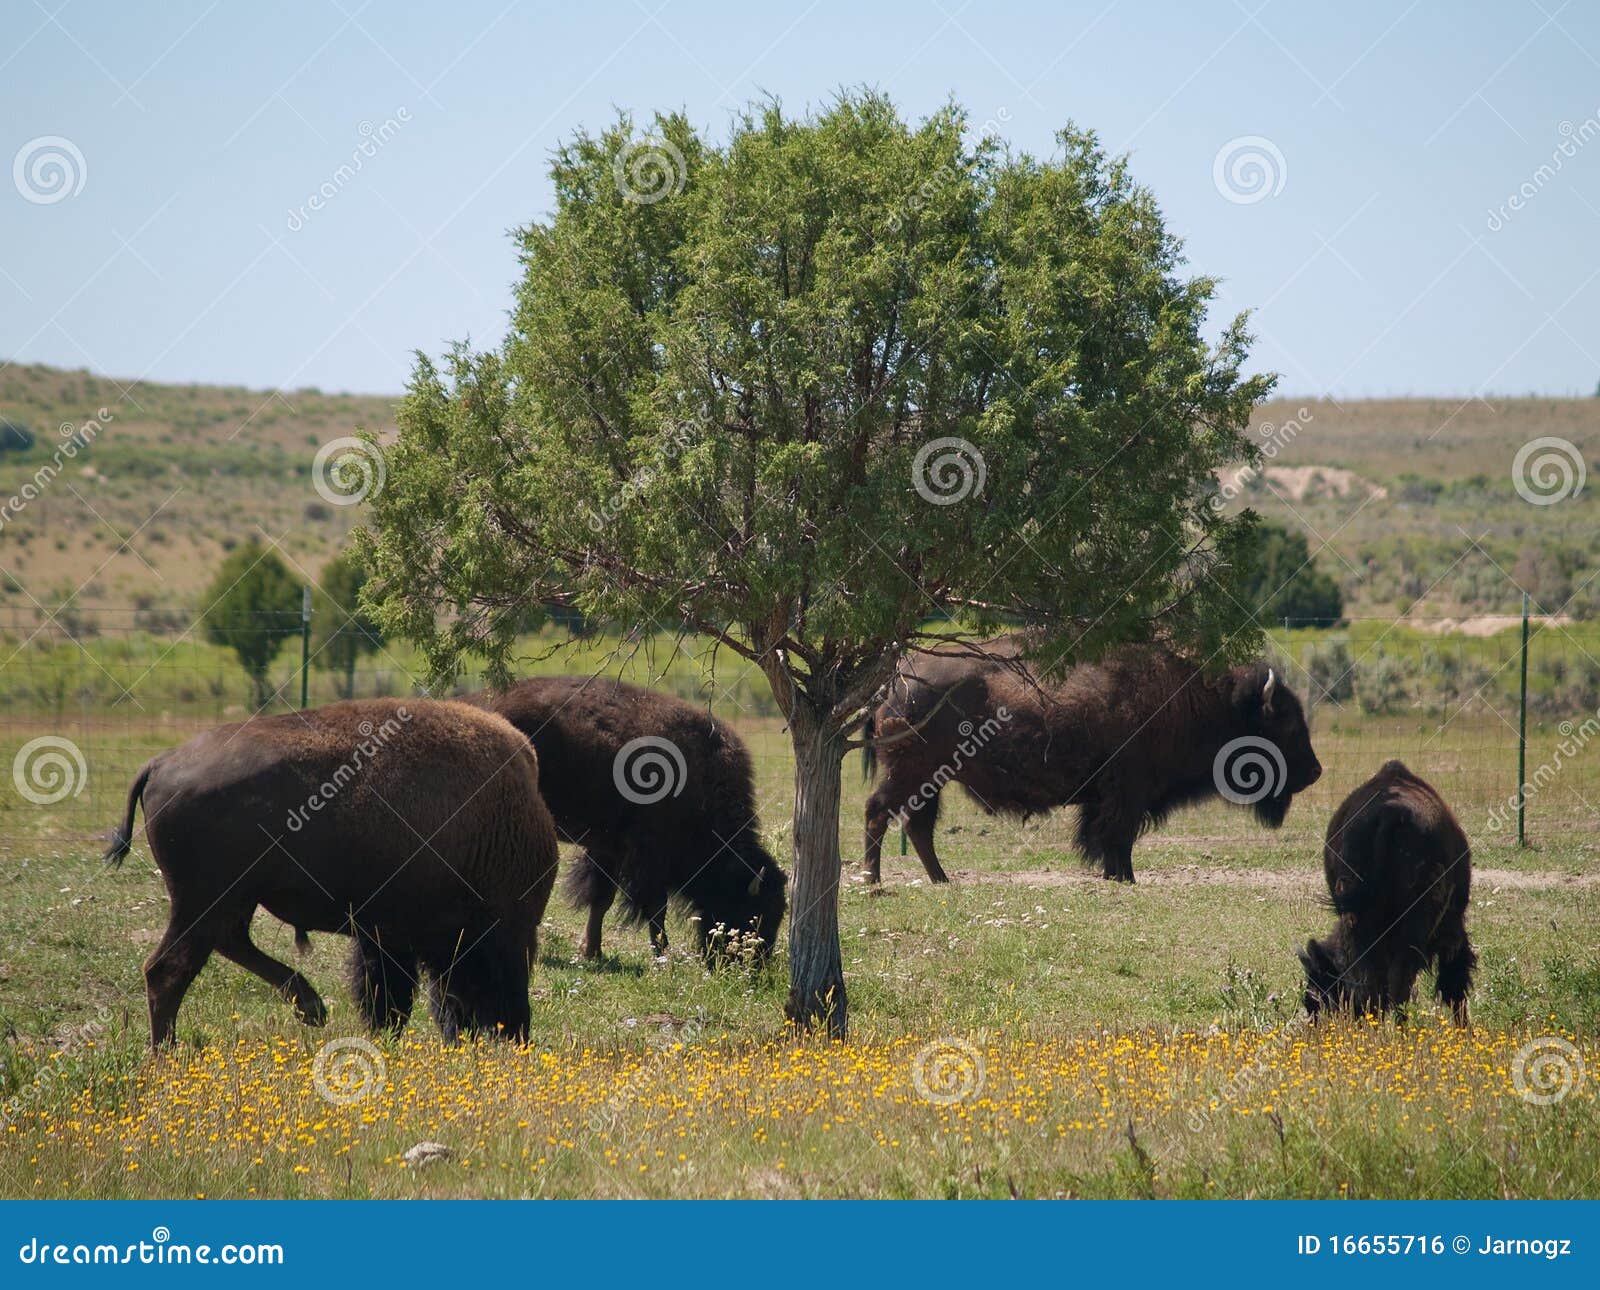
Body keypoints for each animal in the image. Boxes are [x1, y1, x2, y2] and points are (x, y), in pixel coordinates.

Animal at [106, 699, 559, 1047]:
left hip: (231, 900)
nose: (514, 1031)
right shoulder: (402, 935)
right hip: (204, 901)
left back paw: (310, 1007)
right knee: (168, 970)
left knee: (225, 944)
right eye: (501, 961)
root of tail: (160, 762)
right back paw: (167, 1052)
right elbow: (389, 996)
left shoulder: (383, 935)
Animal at [479, 676, 786, 961]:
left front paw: (591, 951)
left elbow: (601, 898)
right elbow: (655, 907)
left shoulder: (608, 849)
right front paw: (661, 954)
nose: (755, 965)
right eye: (750, 910)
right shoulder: (646, 859)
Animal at [863, 644, 1321, 883]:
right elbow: (1116, 836)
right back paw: (874, 880)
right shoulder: (1127, 793)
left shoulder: (1110, 797)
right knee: (878, 812)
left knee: (917, 825)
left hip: (930, 780)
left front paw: (1116, 876)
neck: (1205, 700)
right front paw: (1123, 877)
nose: (1315, 771)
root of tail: (896, 681)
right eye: (1287, 724)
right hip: (911, 773)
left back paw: (941, 880)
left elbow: (1109, 836)